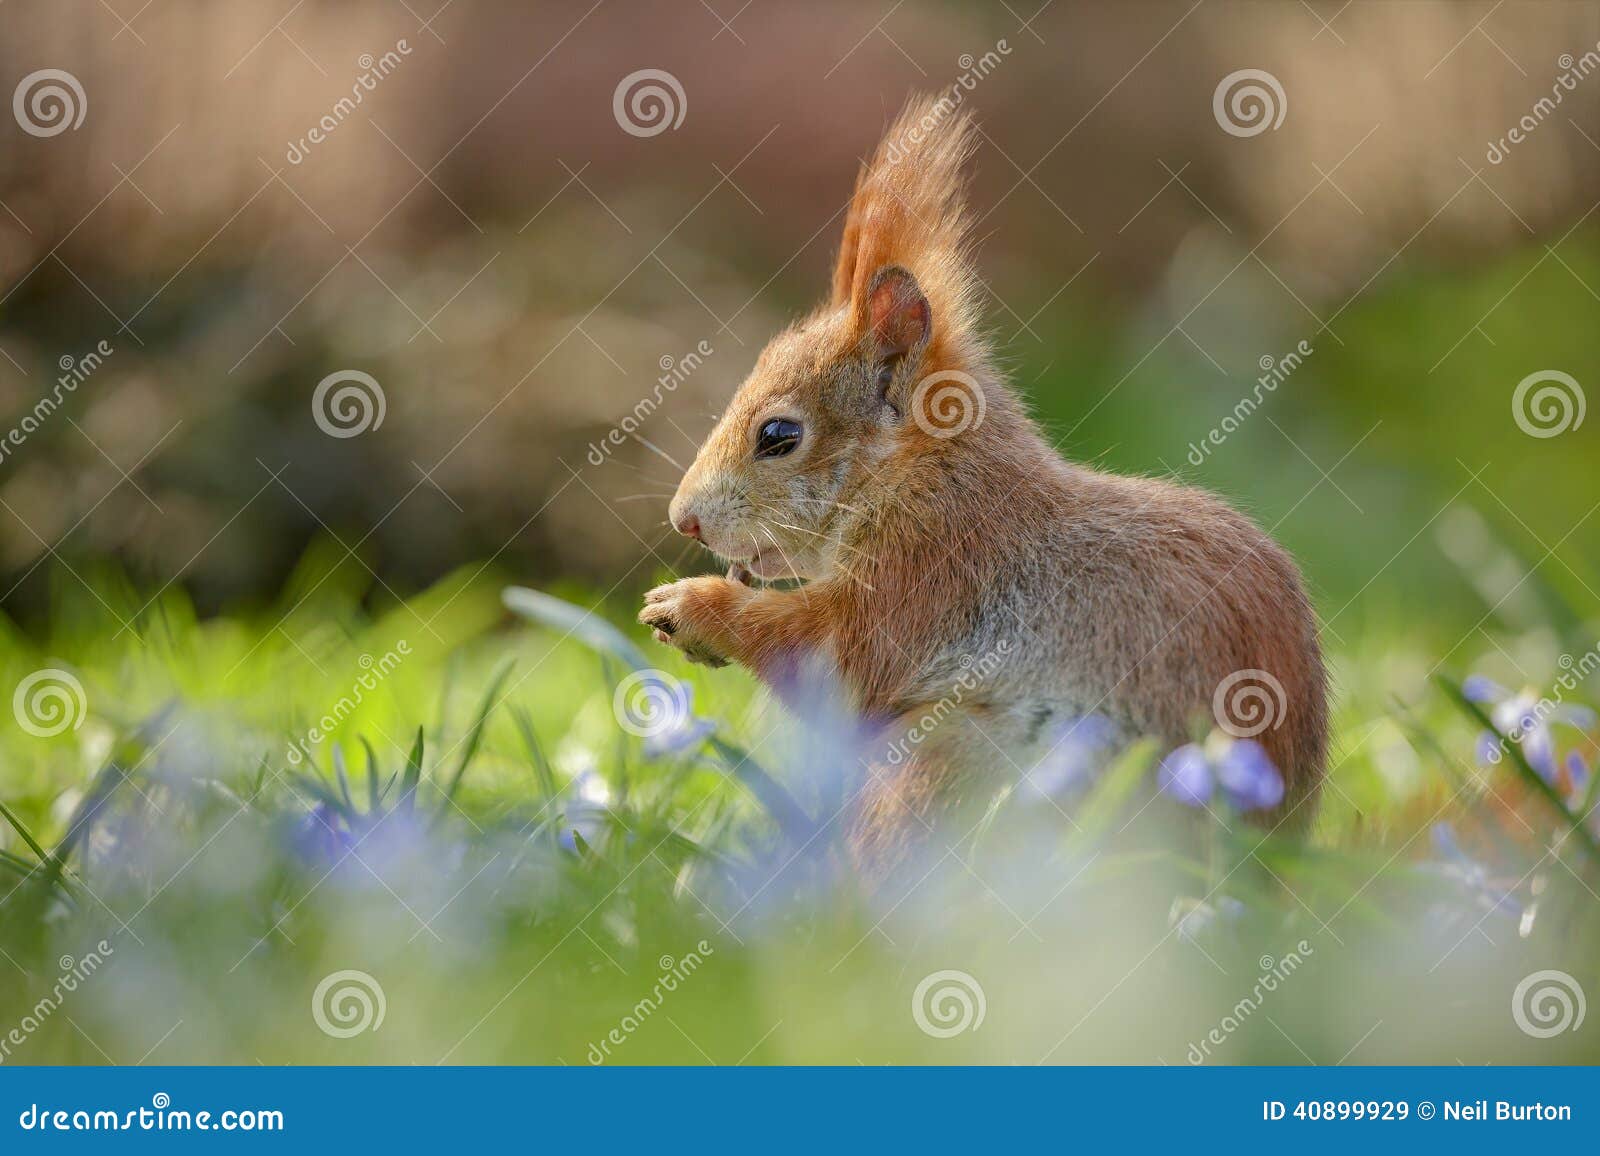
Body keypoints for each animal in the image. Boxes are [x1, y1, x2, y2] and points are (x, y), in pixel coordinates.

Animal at [639, 94, 1328, 874]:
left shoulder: (935, 568)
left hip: (970, 761)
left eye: (779, 436)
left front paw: (692, 606)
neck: (922, 473)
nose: (684, 520)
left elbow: (841, 654)